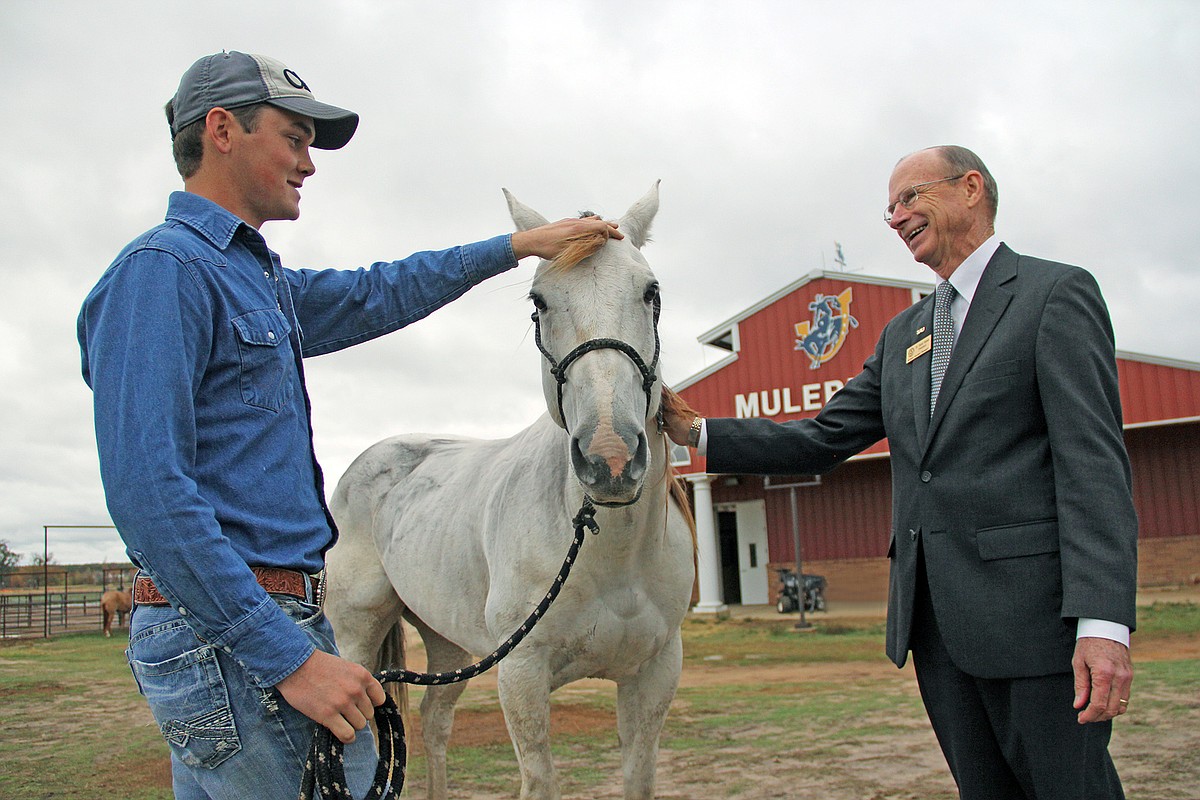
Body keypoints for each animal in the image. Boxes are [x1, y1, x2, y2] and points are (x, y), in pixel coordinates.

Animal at [324, 183, 696, 800]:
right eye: (538, 302)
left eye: (651, 292)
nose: (610, 458)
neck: (610, 557)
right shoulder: (520, 676)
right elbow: (539, 780)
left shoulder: (654, 674)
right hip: (353, 639)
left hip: (449, 646)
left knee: (433, 723)